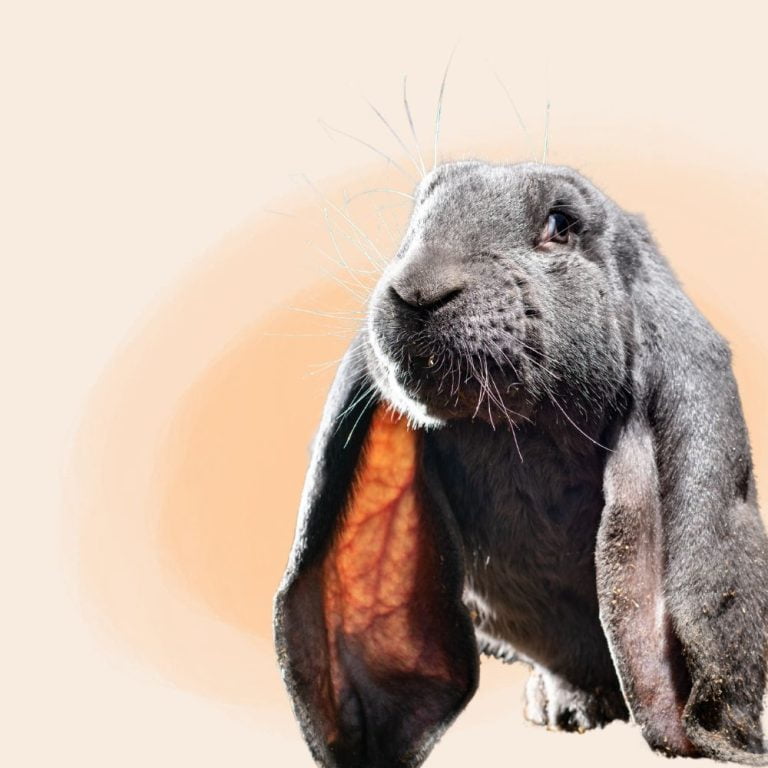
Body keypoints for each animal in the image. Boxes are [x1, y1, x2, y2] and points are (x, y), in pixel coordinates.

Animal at [273, 160, 768, 767]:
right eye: (418, 214)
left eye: (560, 223)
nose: (417, 291)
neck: (521, 444)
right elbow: (562, 657)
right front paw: (568, 710)